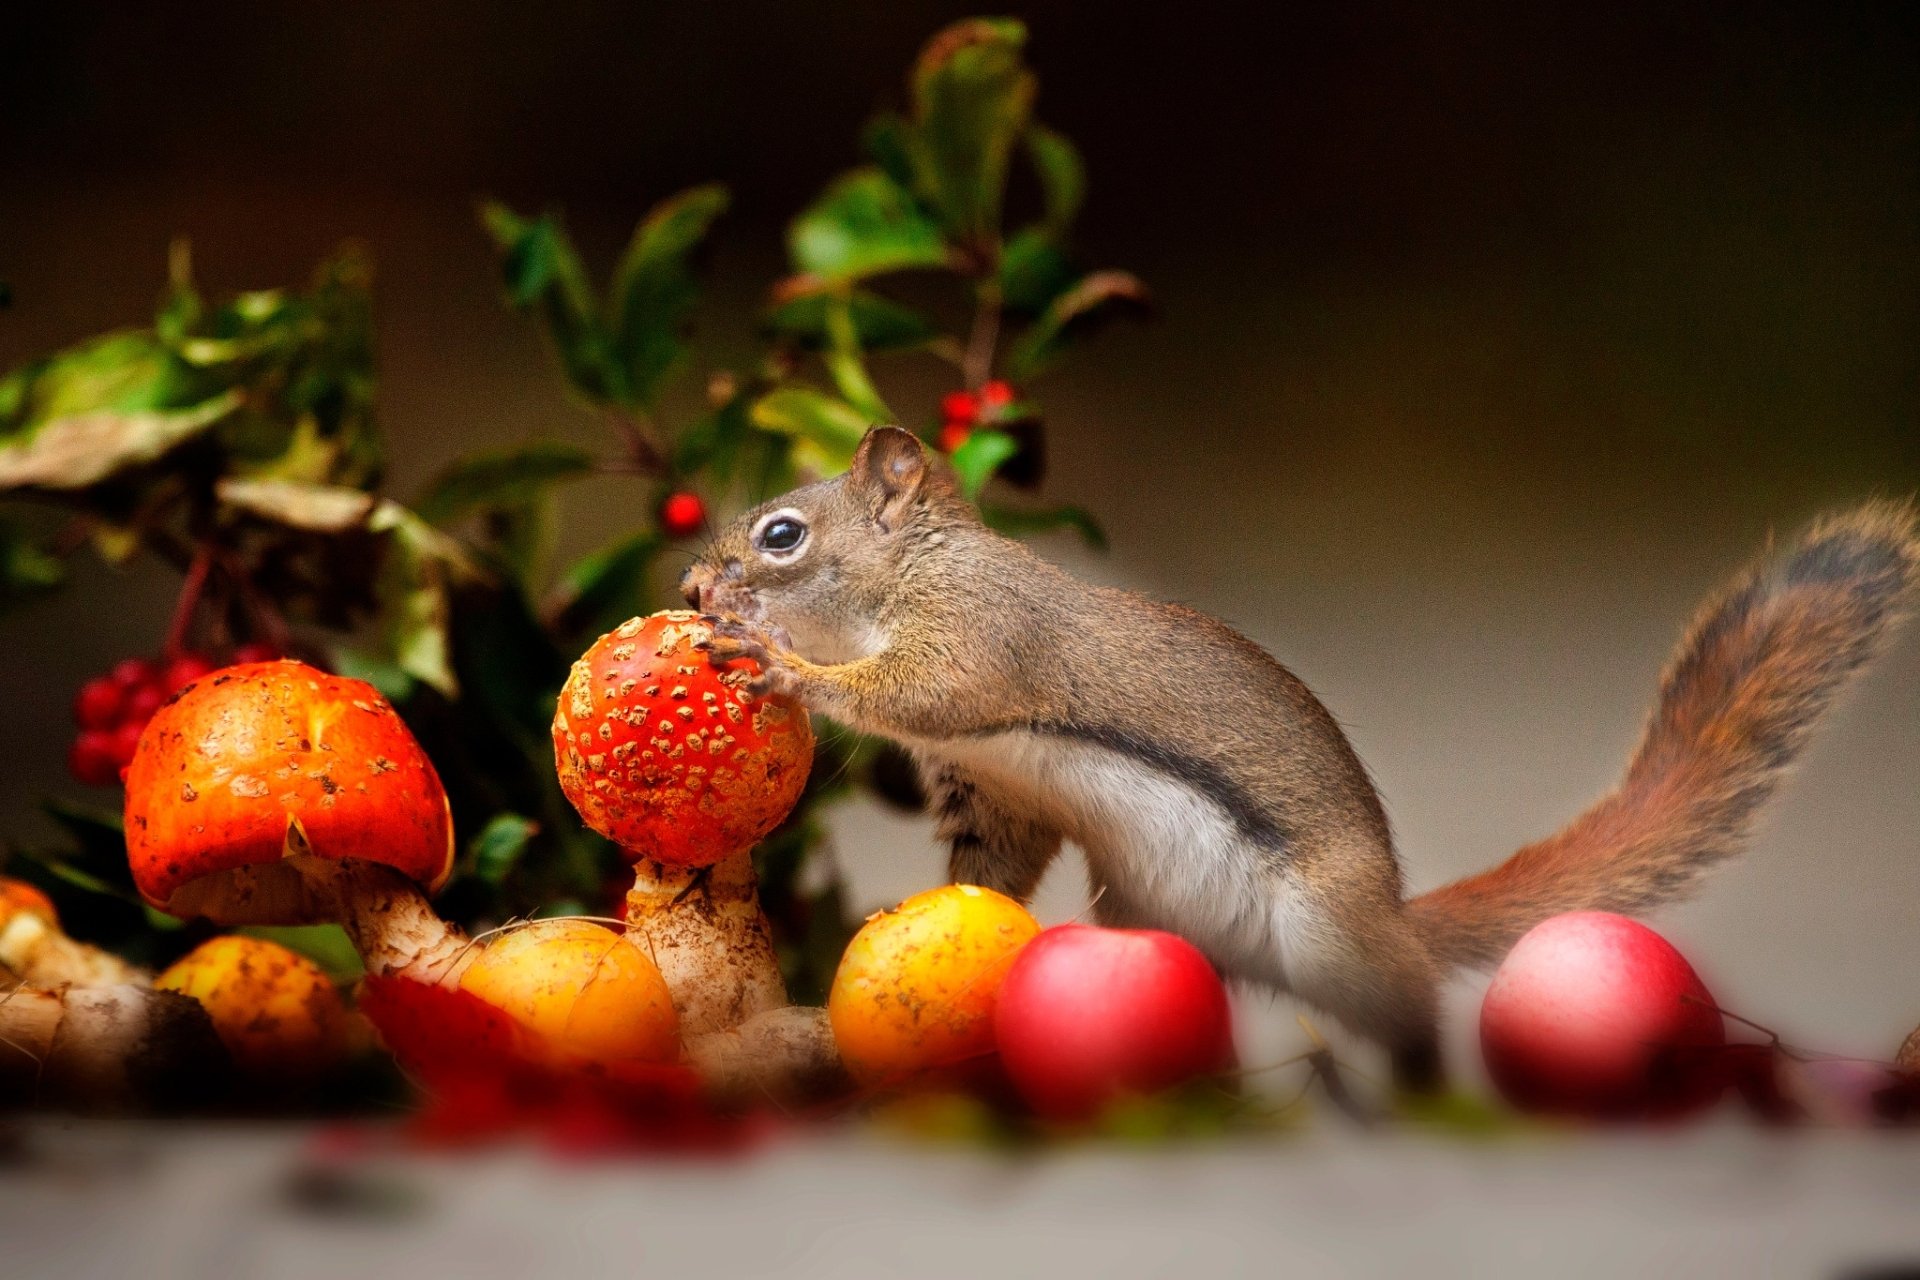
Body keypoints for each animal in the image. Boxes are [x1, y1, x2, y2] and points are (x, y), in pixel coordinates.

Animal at [682, 425, 1920, 1089]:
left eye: (783, 534)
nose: (693, 591)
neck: (915, 572)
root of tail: (1392, 914)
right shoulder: (993, 787)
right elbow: (995, 861)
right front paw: (946, 918)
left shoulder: (982, 639)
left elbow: (923, 691)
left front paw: (783, 664)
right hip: (1149, 911)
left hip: (1334, 932)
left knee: (1411, 1010)